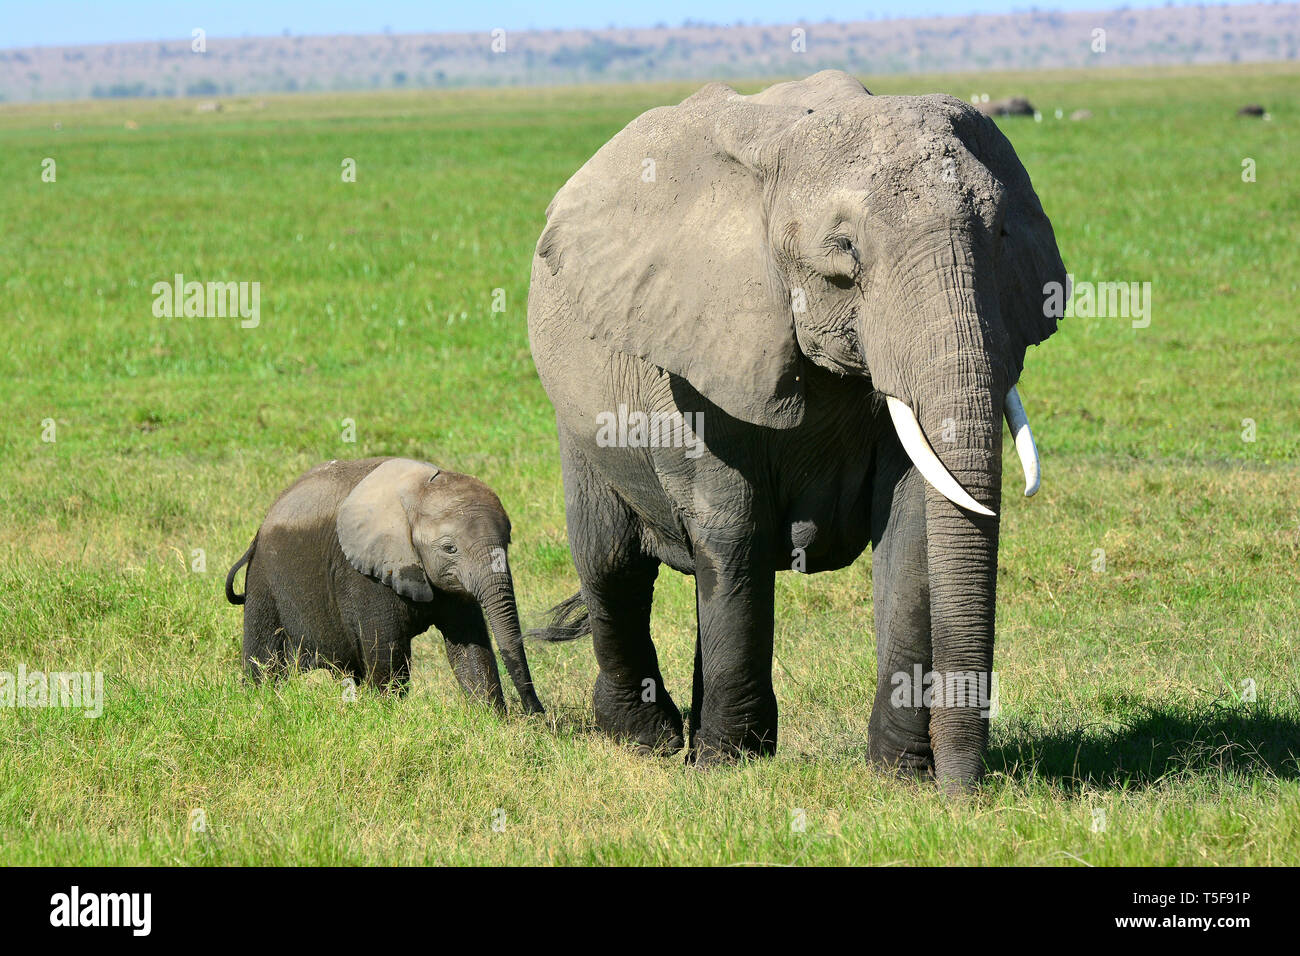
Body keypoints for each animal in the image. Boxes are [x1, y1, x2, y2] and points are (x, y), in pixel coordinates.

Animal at [224, 457, 544, 714]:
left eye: (508, 542)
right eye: (449, 548)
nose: (536, 714)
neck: (419, 493)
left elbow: (469, 645)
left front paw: (492, 720)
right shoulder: (364, 574)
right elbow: (387, 654)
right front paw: (387, 717)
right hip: (265, 579)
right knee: (264, 662)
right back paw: (259, 702)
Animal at [527, 71, 1064, 791]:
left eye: (1003, 233)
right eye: (846, 255)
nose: (965, 796)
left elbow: (915, 527)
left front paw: (899, 776)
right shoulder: (697, 353)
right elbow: (732, 528)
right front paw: (725, 769)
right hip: (578, 416)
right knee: (613, 564)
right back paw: (648, 740)